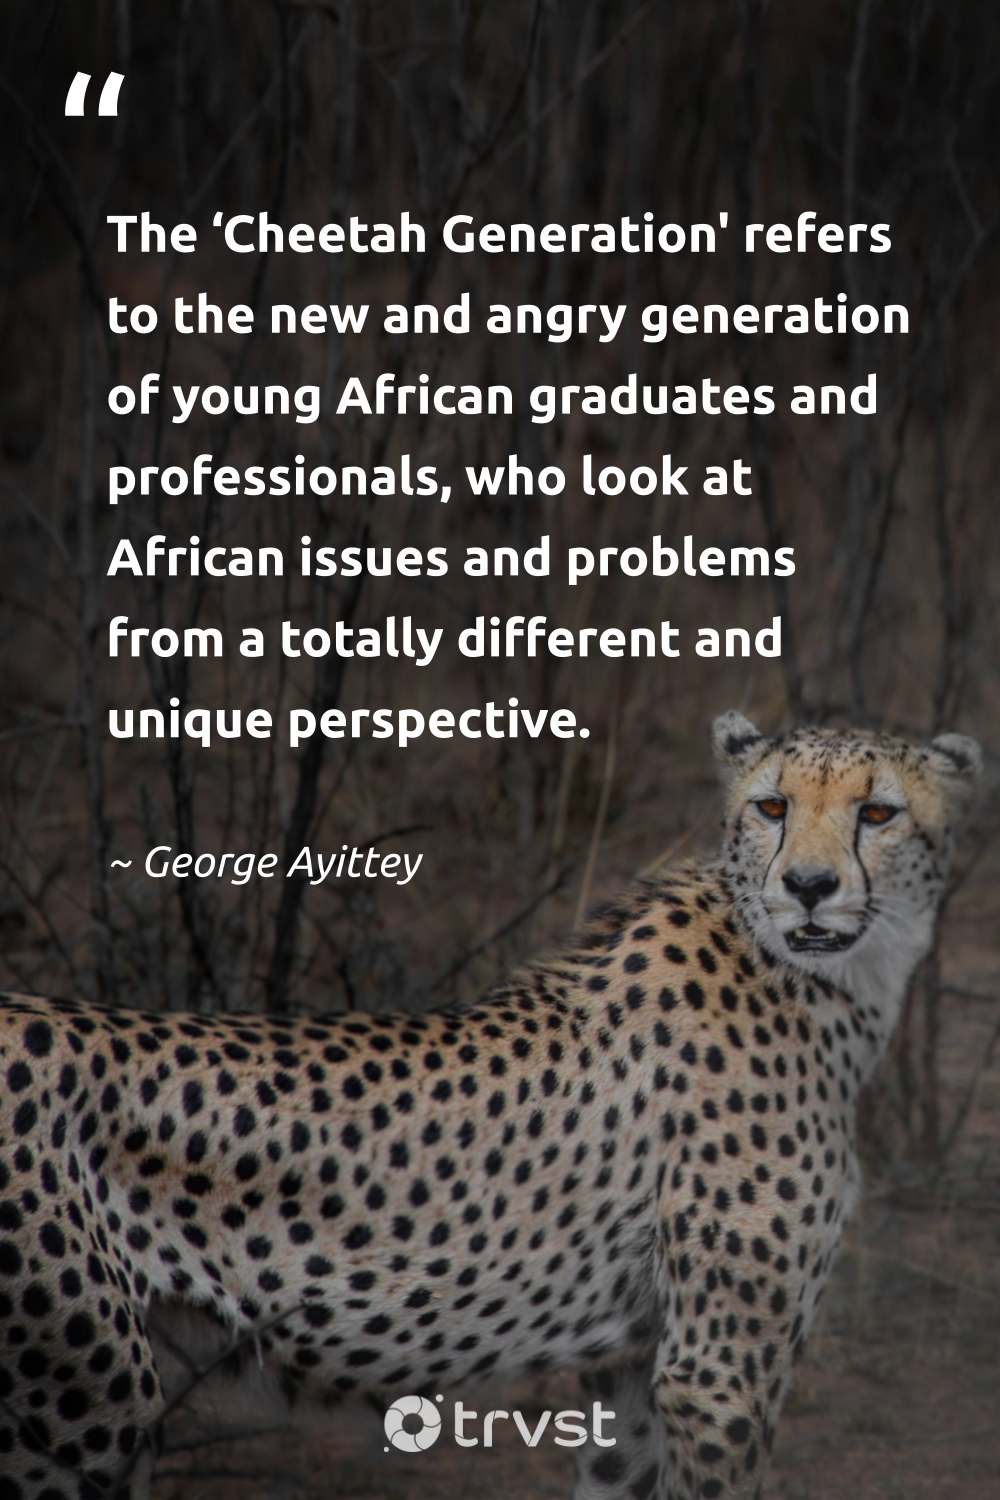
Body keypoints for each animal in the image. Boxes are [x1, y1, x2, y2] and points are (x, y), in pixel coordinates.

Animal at [0, 710, 981, 1500]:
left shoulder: (636, 1369)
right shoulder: (718, 1375)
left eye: (878, 813)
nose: (808, 887)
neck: (827, 981)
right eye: (772, 807)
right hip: (88, 1401)